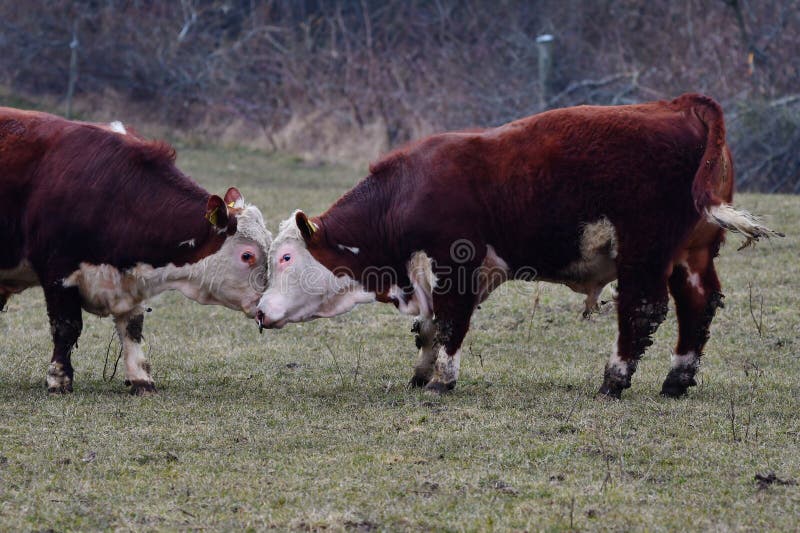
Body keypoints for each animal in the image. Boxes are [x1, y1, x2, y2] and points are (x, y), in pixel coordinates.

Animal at [0, 108, 271, 394]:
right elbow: (66, 328)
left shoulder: (131, 280)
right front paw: (59, 380)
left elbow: (132, 328)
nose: (262, 306)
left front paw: (141, 379)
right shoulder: (58, 273)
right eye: (247, 255)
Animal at [255, 94, 782, 399]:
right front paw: (421, 375)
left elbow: (450, 321)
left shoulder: (456, 262)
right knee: (699, 303)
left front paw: (443, 381)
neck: (404, 192)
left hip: (644, 251)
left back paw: (614, 380)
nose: (258, 311)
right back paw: (677, 380)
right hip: (691, 255)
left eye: (285, 257)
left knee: (642, 310)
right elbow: (429, 326)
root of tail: (680, 104)